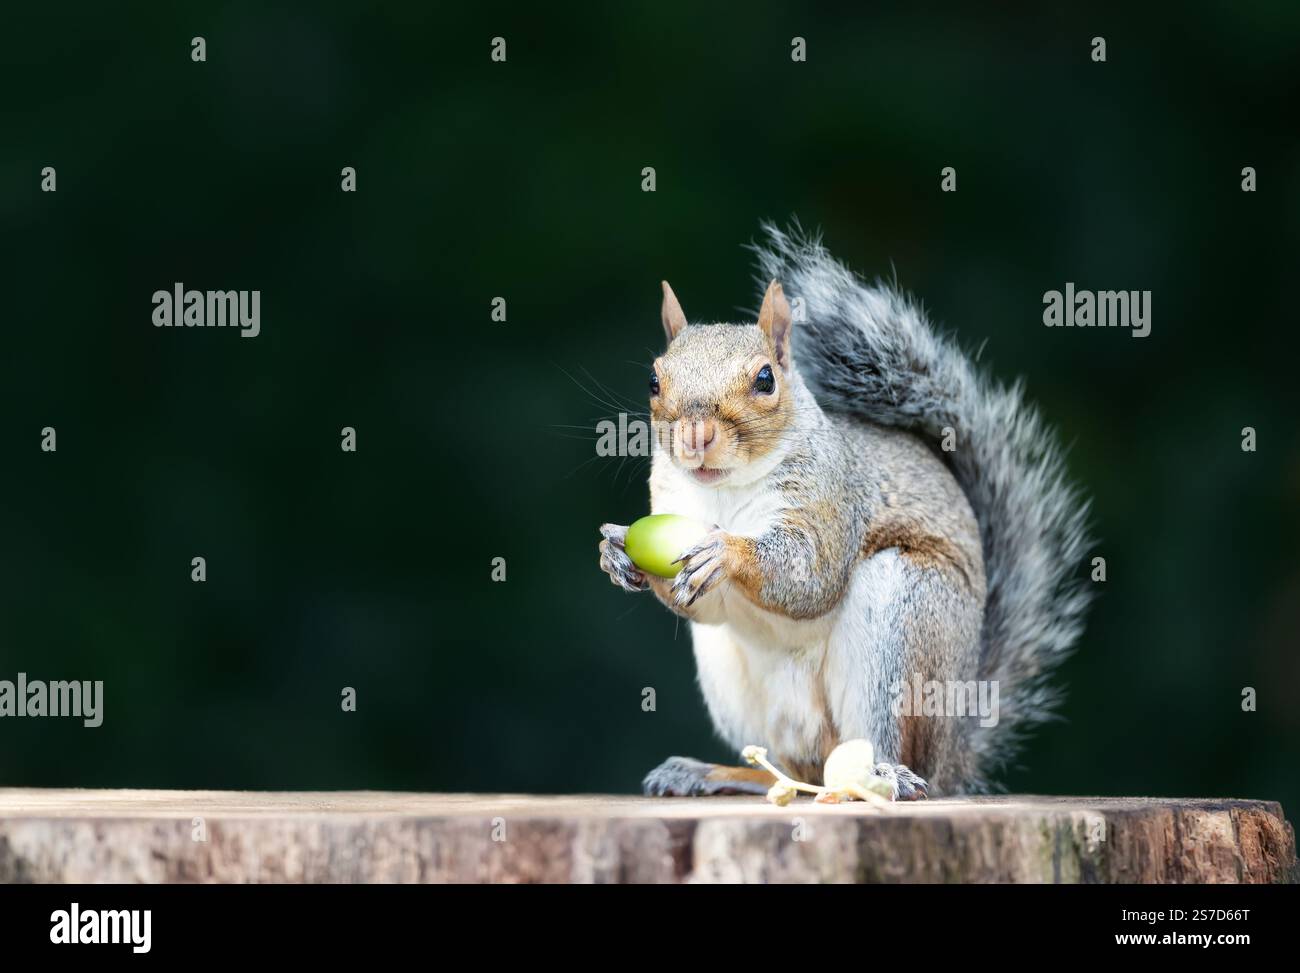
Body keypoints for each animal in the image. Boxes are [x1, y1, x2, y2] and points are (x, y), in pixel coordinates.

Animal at [598, 224, 1092, 800]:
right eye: (654, 381)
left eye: (765, 379)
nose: (695, 436)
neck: (724, 493)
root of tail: (953, 759)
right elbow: (704, 606)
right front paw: (616, 552)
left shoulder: (833, 499)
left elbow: (810, 577)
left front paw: (727, 550)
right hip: (734, 681)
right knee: (792, 771)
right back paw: (715, 773)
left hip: (904, 623)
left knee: (883, 757)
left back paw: (886, 777)